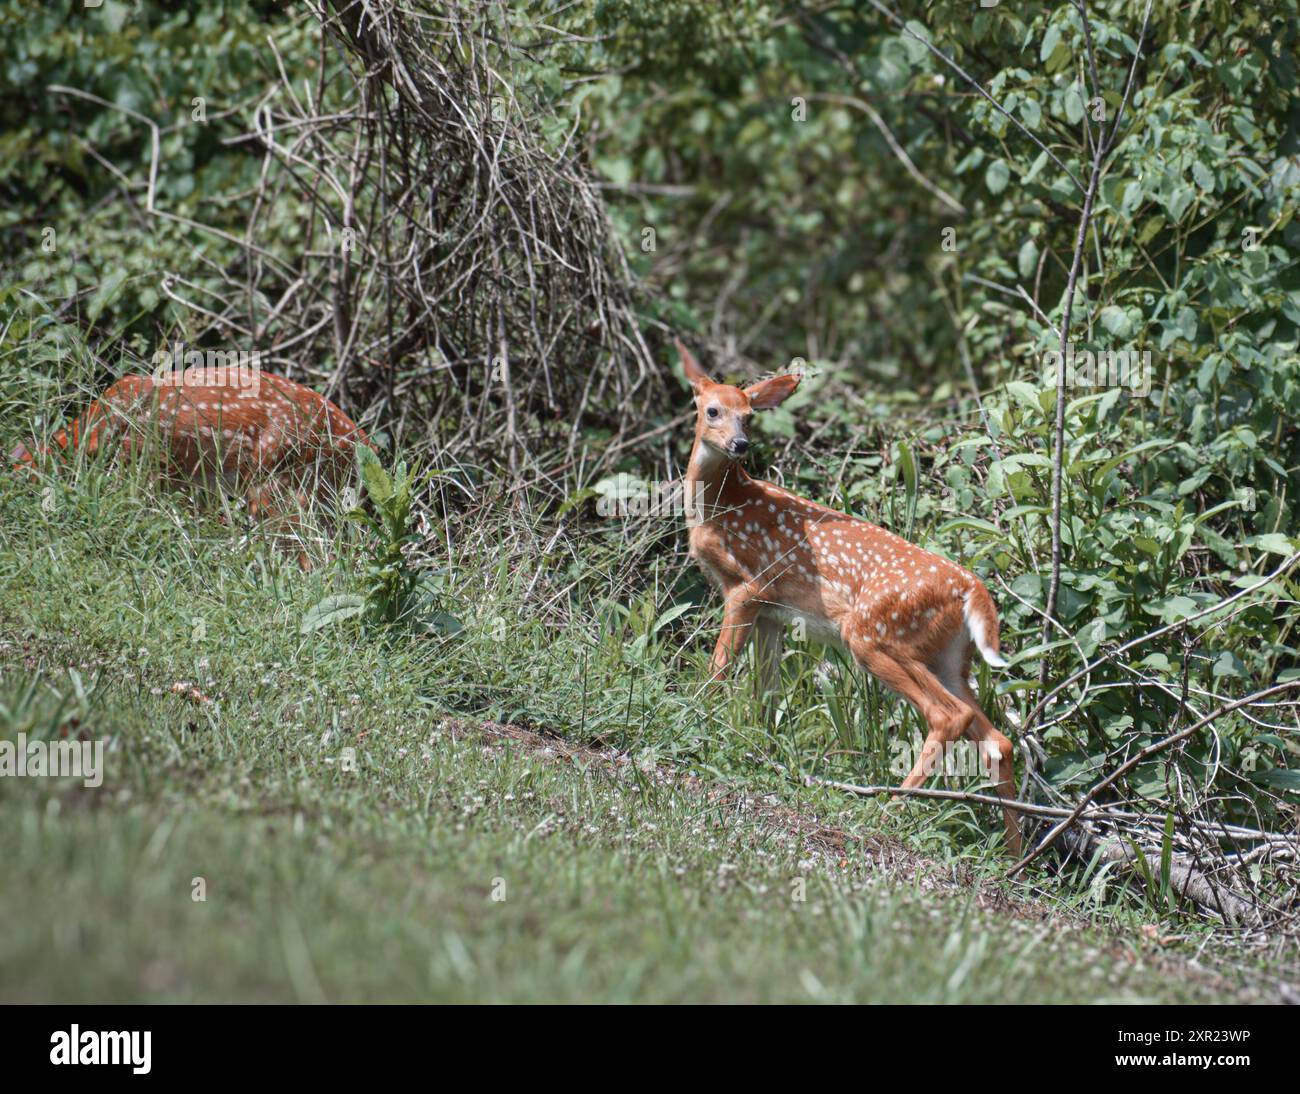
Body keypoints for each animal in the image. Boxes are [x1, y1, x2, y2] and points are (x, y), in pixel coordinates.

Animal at [676, 338, 1021, 854]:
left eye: (750, 416)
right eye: (712, 410)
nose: (740, 445)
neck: (720, 505)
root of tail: (973, 590)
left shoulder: (748, 585)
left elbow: (720, 667)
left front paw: (694, 714)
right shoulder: (773, 611)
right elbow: (765, 690)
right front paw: (757, 745)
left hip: (875, 633)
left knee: (948, 716)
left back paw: (892, 807)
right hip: (947, 657)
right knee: (998, 739)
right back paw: (1019, 853)